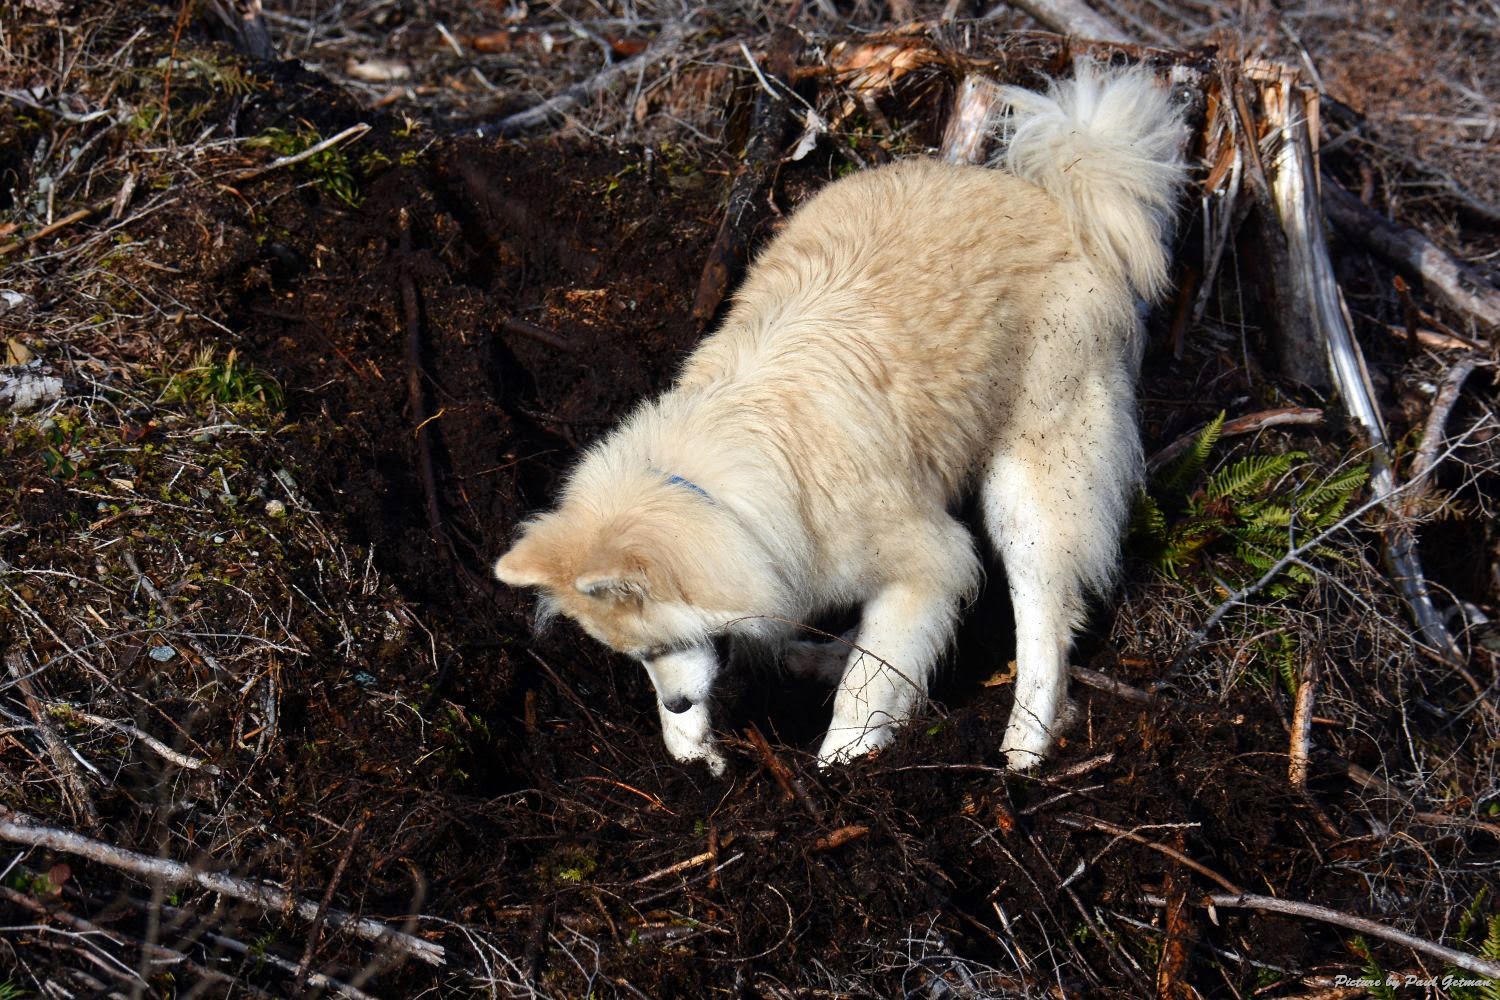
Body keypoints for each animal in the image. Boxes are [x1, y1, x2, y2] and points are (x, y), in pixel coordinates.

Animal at [495, 63, 1188, 774]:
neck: (727, 488)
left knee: (1045, 620)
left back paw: (1025, 744)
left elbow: (869, 683)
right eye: (637, 657)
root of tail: (1053, 191)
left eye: (659, 645)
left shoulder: (928, 563)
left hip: (1031, 487)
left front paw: (841, 768)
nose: (680, 703)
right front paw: (689, 743)